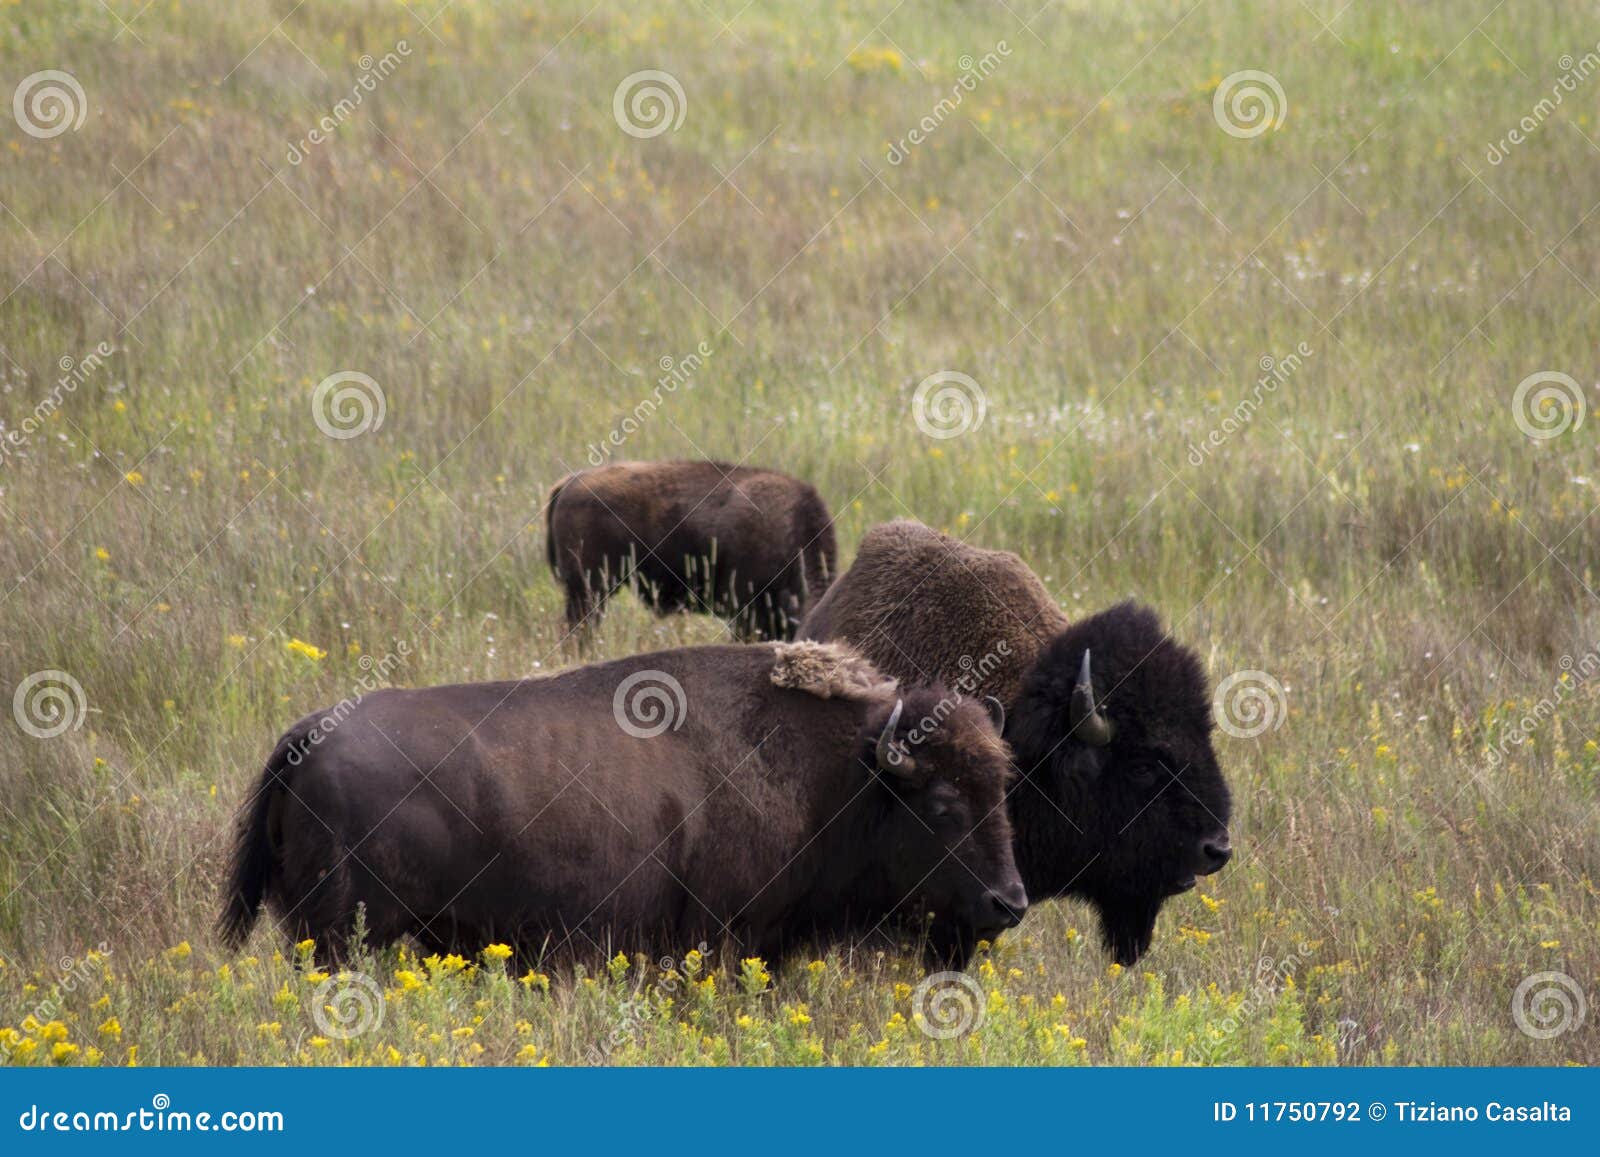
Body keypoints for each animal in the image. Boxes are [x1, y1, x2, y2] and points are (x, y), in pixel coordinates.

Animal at [218, 640, 1026, 970]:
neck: (847, 773)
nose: (1009, 903)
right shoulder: (720, 934)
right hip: (340, 938)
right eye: (943, 803)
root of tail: (305, 736)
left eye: (1002, 791)